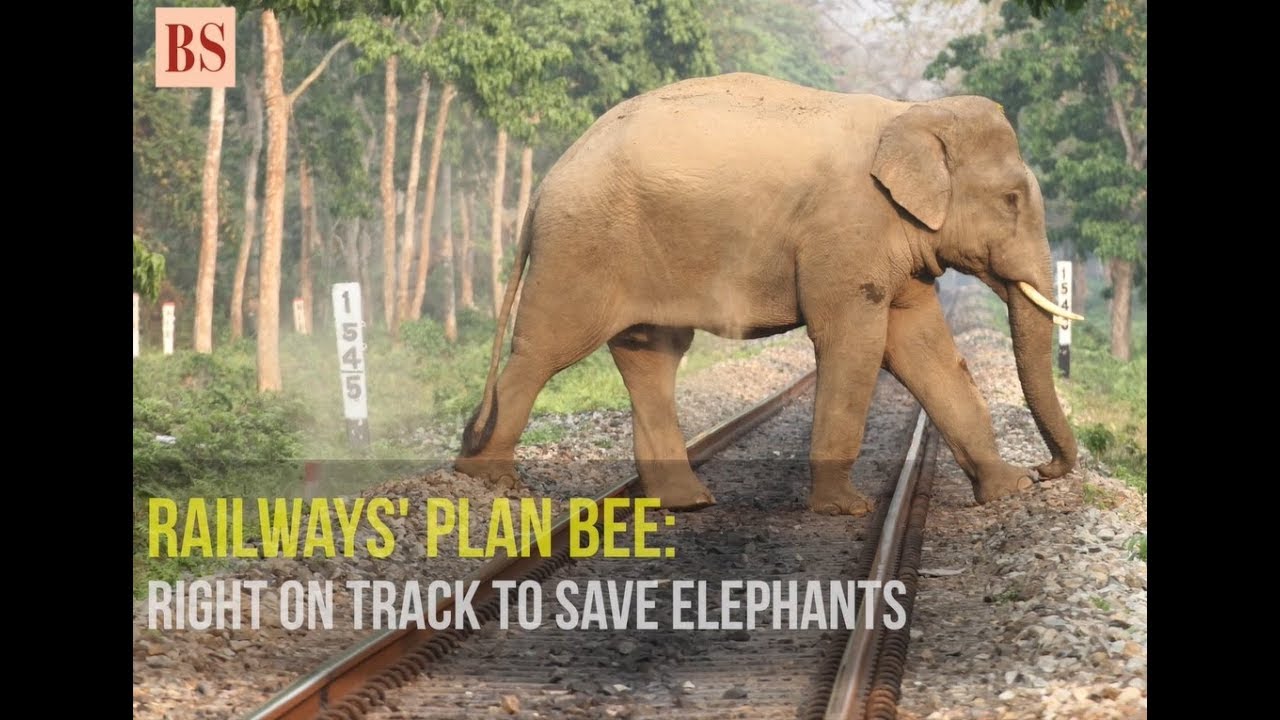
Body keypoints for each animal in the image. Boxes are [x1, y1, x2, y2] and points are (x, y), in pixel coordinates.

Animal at [453, 72, 1081, 516]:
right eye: (1010, 201)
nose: (1046, 469)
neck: (908, 115)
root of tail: (545, 184)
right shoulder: (847, 231)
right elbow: (855, 345)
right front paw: (845, 508)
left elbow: (923, 347)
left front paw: (1006, 491)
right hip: (581, 248)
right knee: (545, 351)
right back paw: (487, 479)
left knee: (651, 357)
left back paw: (685, 501)